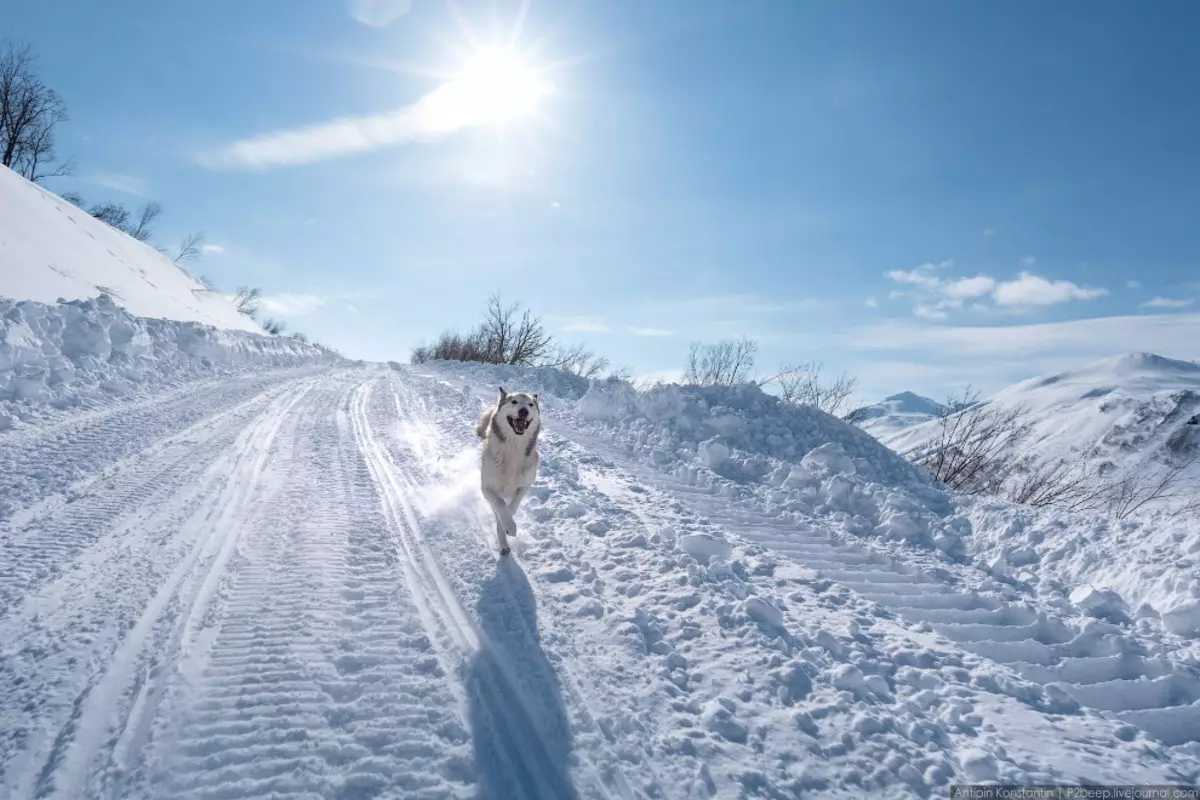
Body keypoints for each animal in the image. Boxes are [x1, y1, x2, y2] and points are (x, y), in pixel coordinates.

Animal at [475, 388, 542, 556]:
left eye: (531, 404)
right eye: (514, 402)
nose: (524, 411)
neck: (513, 448)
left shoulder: (524, 486)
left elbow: (512, 507)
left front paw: (507, 526)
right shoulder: (486, 487)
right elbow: (500, 504)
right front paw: (509, 526)